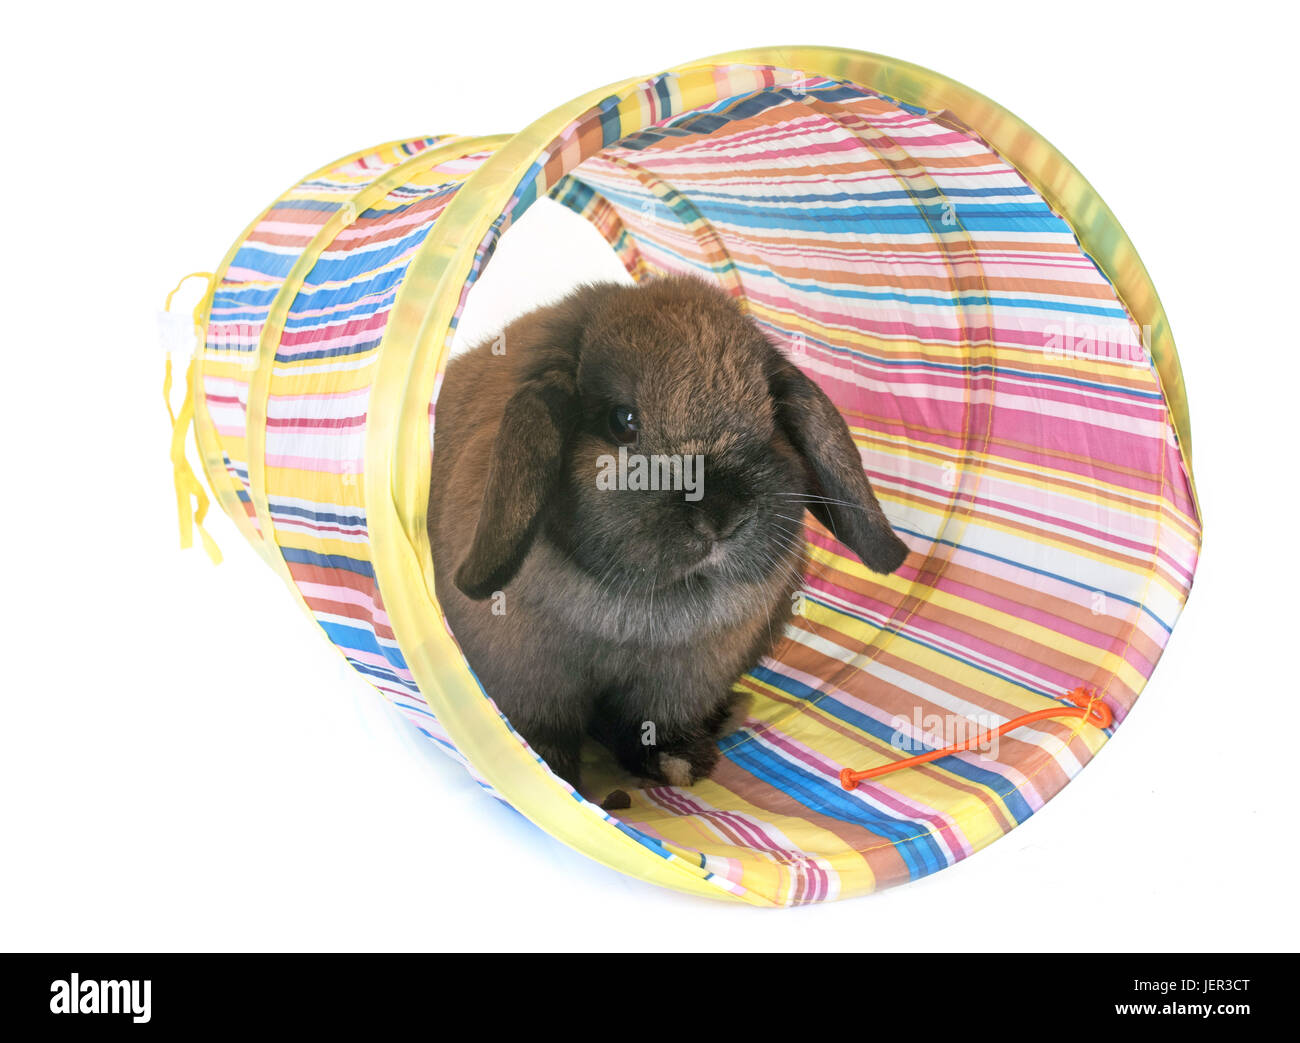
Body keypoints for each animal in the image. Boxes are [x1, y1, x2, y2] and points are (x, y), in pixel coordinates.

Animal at [427, 274, 908, 792]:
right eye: (623, 421)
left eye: (771, 416)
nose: (721, 515)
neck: (648, 609)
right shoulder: (528, 676)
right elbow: (541, 729)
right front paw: (549, 773)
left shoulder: (686, 681)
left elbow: (655, 724)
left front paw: (679, 764)